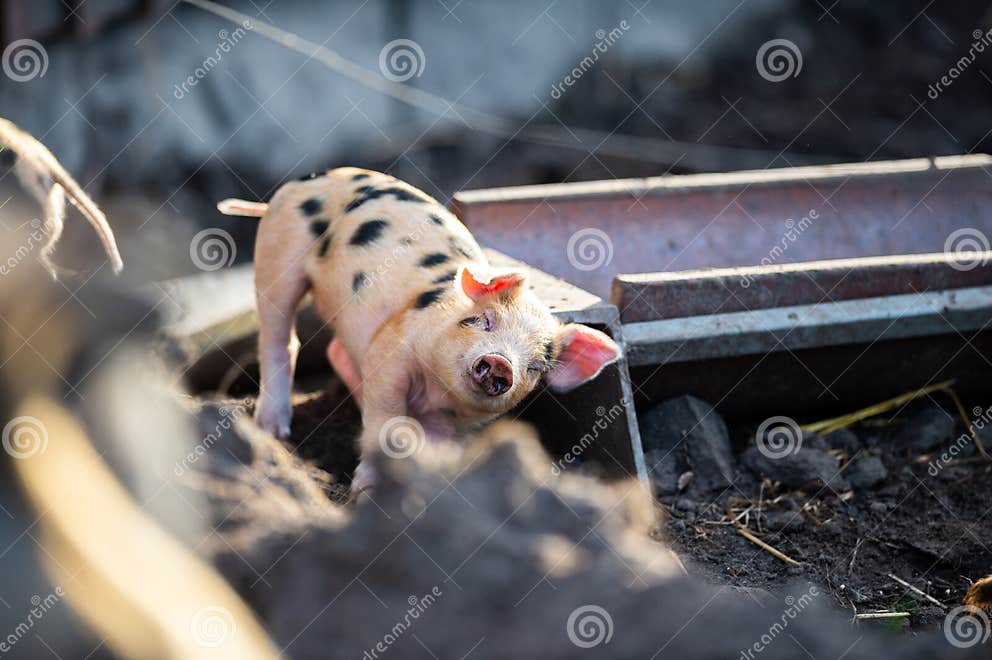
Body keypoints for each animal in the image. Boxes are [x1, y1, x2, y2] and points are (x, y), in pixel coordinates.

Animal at [218, 167, 620, 495]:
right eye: (485, 319)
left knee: (333, 351)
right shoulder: (389, 352)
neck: (438, 392)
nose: (502, 363)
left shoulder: (457, 423)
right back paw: (271, 429)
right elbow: (385, 421)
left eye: (536, 366)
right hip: (277, 257)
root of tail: (303, 182)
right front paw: (367, 491)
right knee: (279, 338)